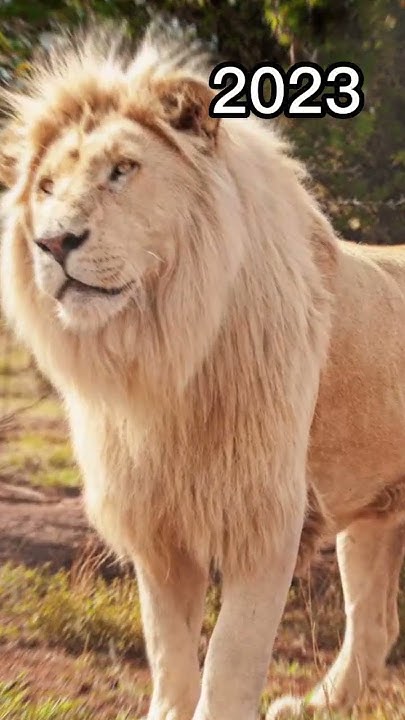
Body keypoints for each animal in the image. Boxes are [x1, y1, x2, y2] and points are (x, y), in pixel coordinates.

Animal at [0, 27, 404, 720]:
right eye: (47, 186)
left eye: (122, 170)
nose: (52, 243)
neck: (164, 356)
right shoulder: (158, 528)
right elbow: (170, 656)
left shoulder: (267, 519)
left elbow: (229, 662)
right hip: (372, 516)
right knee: (374, 627)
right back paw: (312, 705)